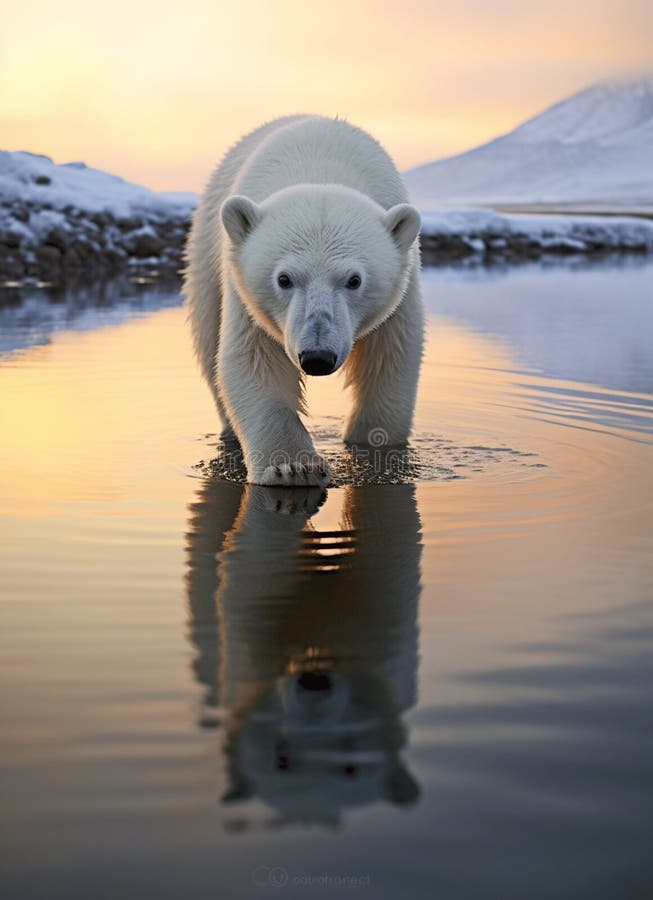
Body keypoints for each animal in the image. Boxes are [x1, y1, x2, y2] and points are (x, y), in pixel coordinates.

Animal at [183, 115, 423, 487]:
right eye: (284, 279)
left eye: (354, 280)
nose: (317, 357)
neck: (319, 166)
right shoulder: (246, 293)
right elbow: (255, 360)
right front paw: (293, 467)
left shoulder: (402, 288)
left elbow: (391, 357)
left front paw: (374, 446)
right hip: (206, 251)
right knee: (208, 334)